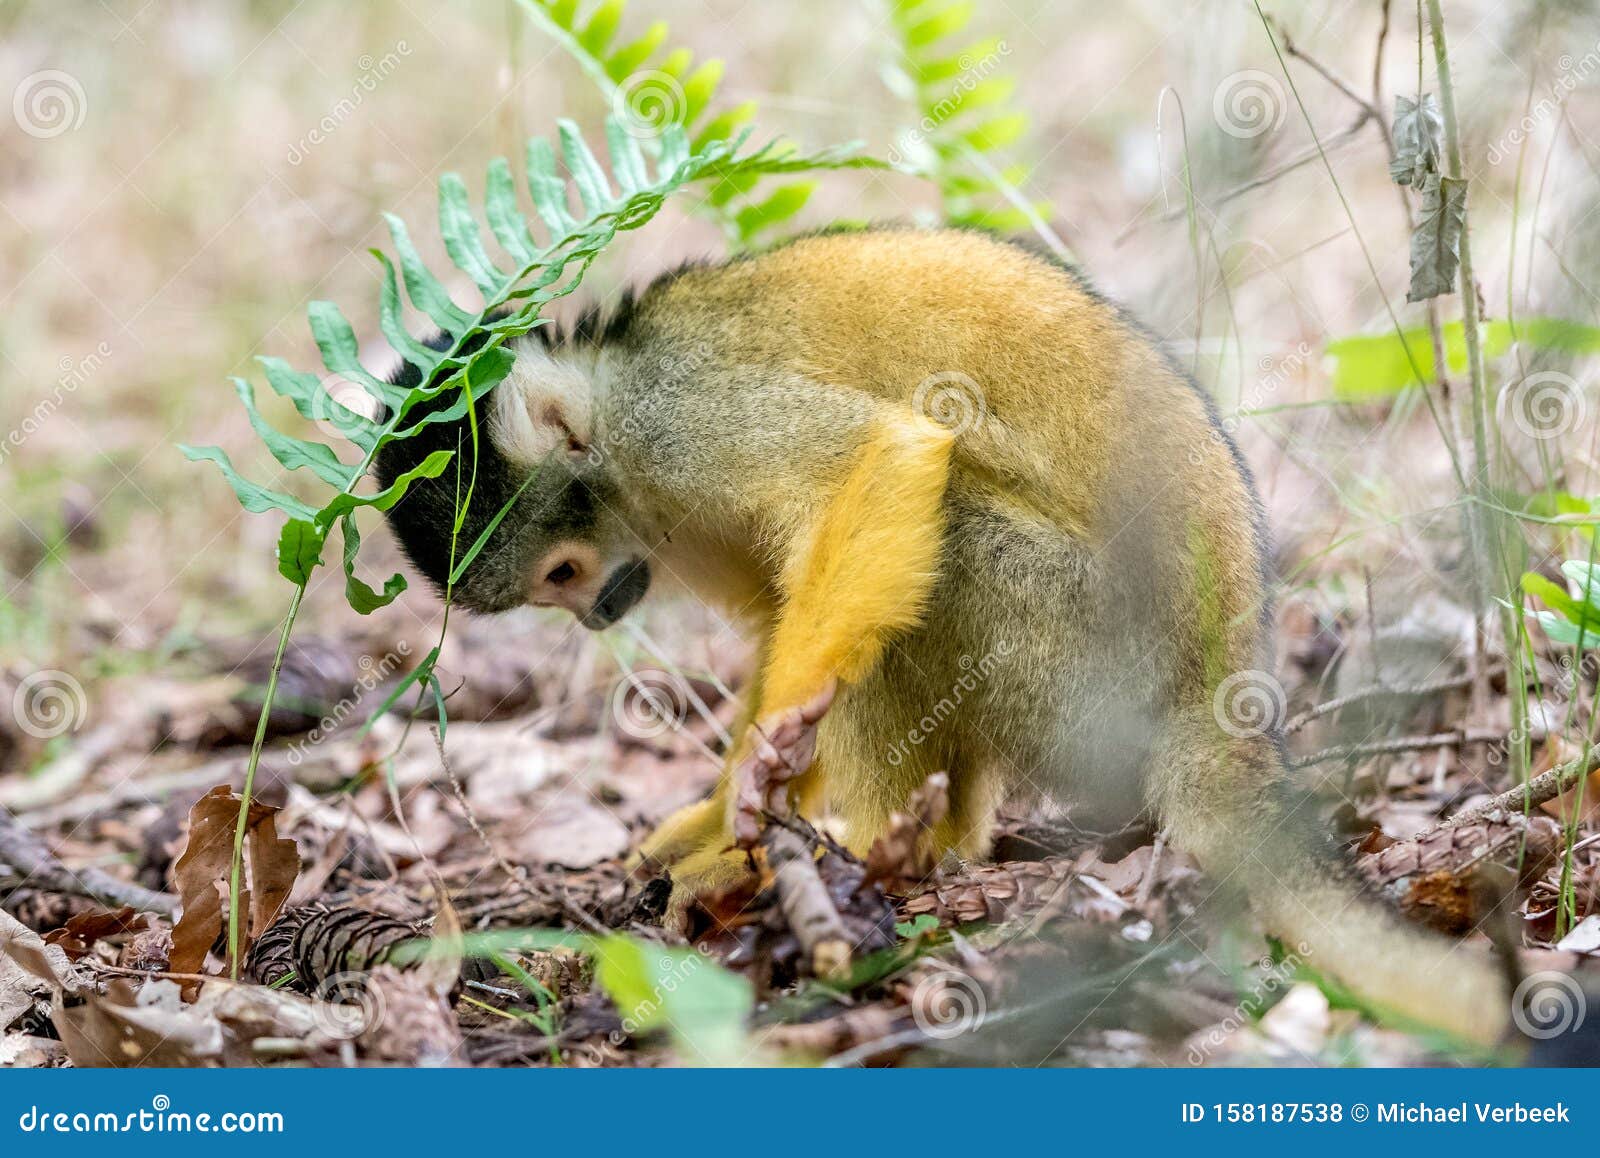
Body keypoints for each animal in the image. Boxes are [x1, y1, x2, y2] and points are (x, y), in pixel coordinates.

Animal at [376, 226, 1514, 1047]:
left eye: (561, 574)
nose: (598, 610)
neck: (612, 393)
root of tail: (1222, 687)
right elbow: (792, 596)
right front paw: (721, 806)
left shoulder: (677, 420)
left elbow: (878, 461)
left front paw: (761, 780)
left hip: (1090, 662)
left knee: (950, 521)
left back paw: (866, 850)